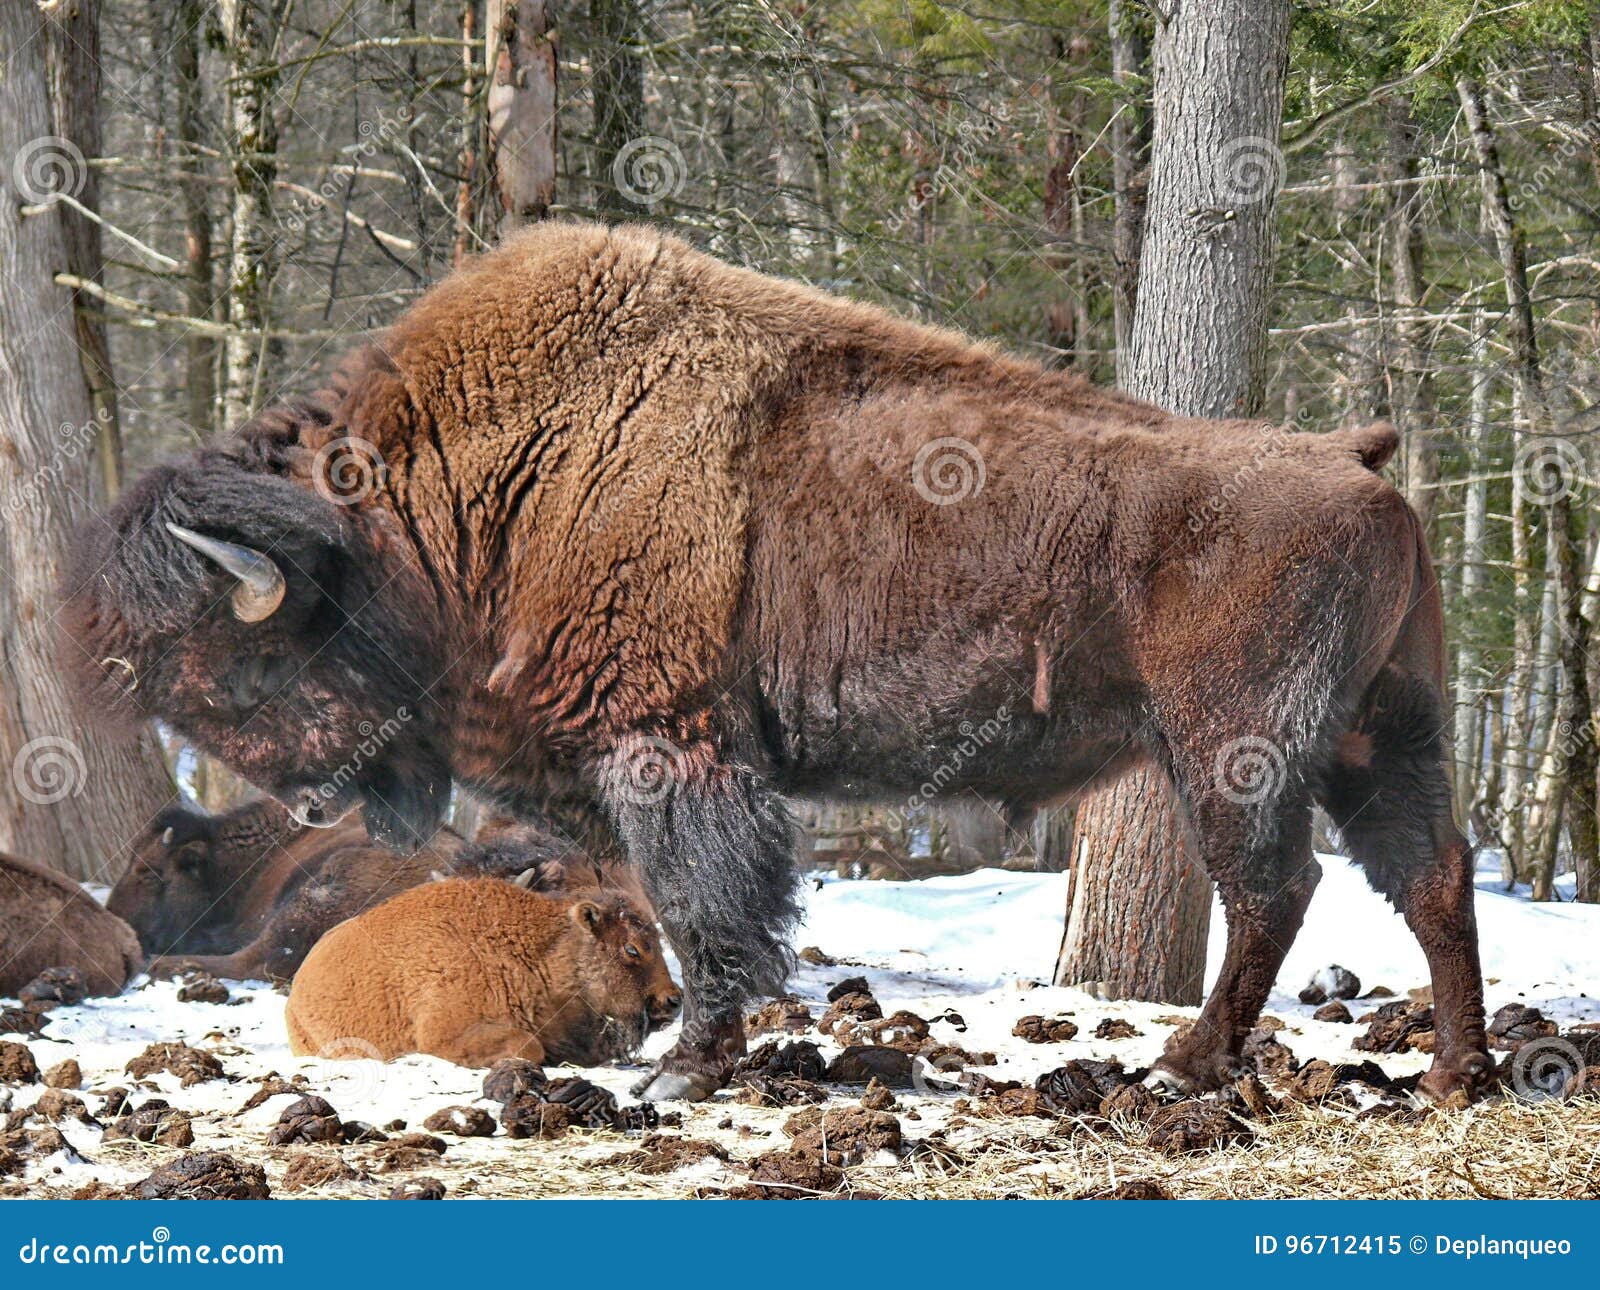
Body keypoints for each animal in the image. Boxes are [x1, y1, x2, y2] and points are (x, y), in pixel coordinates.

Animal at [62, 221, 1489, 1102]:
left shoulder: (670, 747)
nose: (307, 804)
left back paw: (1189, 1067)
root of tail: (1350, 461)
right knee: (1431, 876)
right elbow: (666, 907)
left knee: (1278, 887)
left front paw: (683, 1064)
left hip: (1235, 747)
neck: (468, 485)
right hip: (1382, 734)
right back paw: (1455, 1073)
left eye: (235, 664)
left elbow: (710, 913)